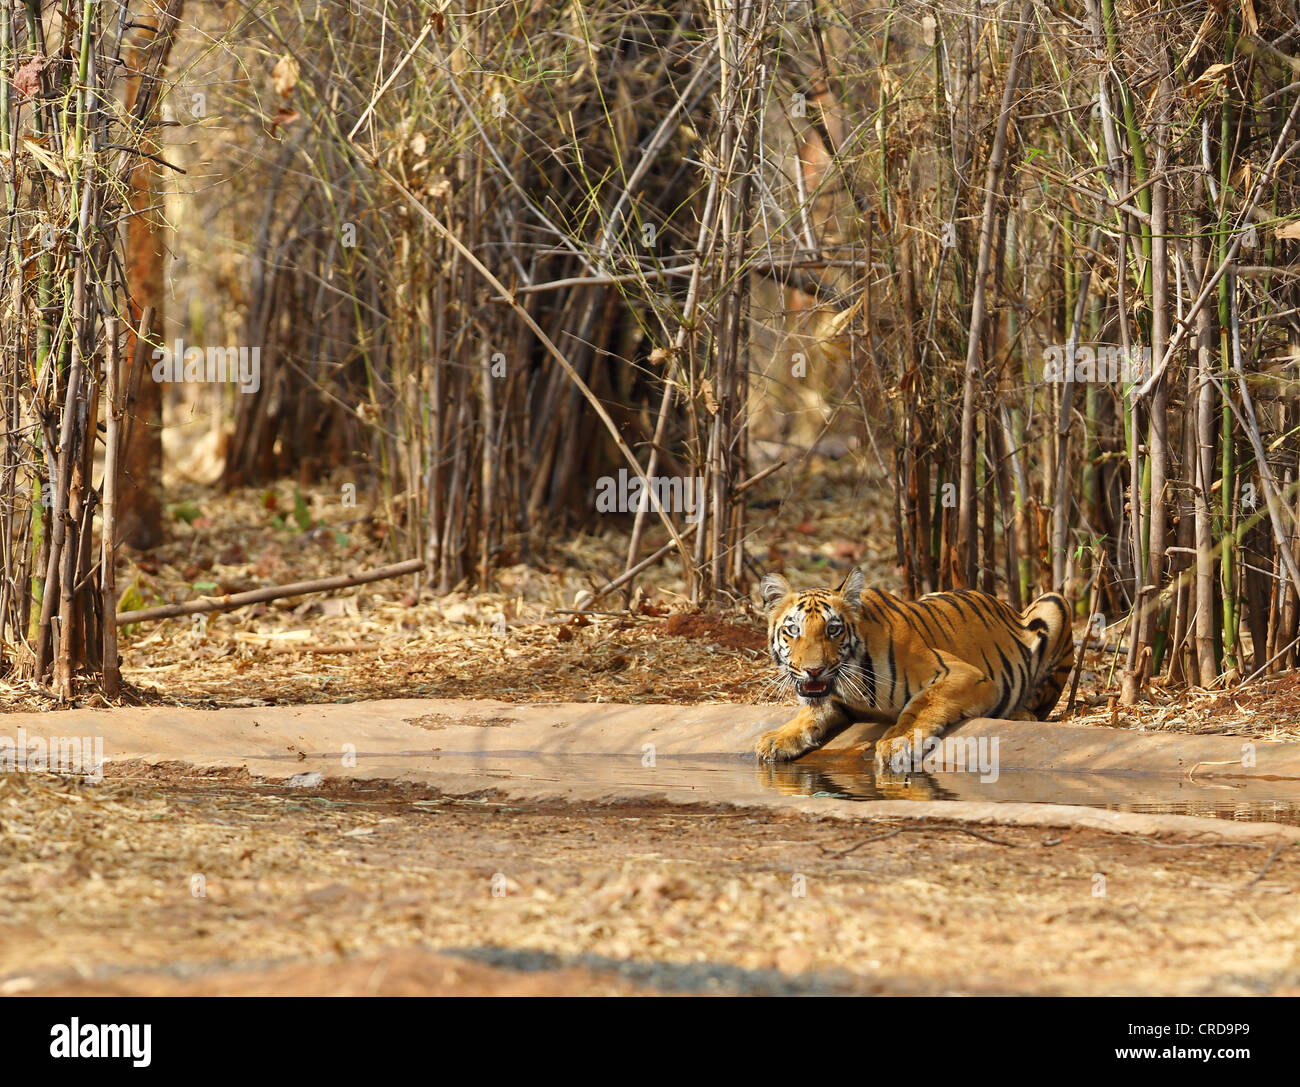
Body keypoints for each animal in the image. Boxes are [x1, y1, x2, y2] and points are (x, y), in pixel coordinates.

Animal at [753, 567, 1074, 774]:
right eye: (793, 630)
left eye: (833, 630)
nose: (813, 670)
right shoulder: (833, 698)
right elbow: (809, 714)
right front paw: (777, 739)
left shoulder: (963, 674)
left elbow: (923, 704)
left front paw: (897, 741)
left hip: (1054, 603)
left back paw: (1021, 714)